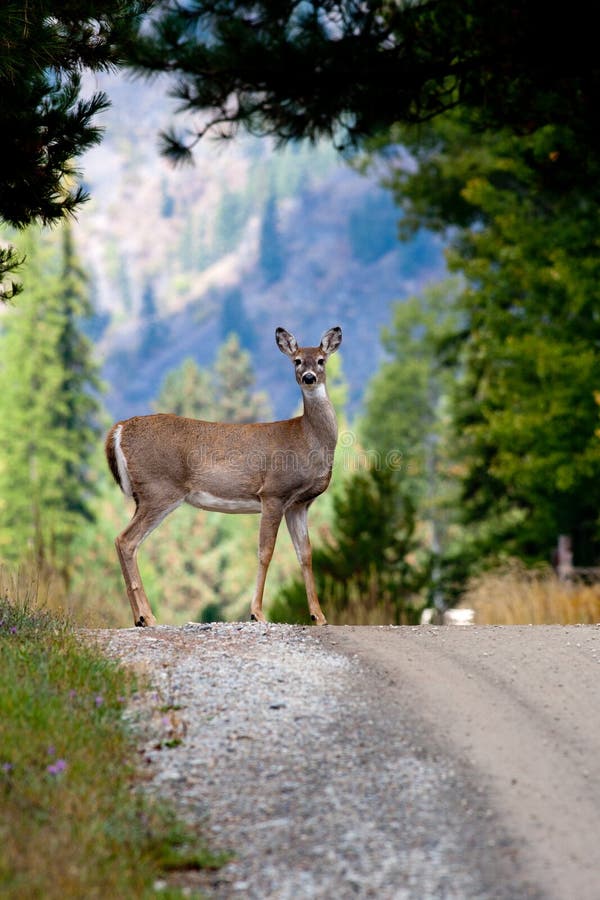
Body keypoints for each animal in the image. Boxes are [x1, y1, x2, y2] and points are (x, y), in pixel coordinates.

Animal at [105, 326, 342, 627]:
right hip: (159, 490)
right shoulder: (273, 493)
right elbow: (266, 552)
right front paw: (257, 613)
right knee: (126, 540)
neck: (306, 438)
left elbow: (306, 554)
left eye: (321, 360)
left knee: (125, 541)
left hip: (146, 495)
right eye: (297, 361)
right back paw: (147, 616)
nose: (308, 377)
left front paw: (319, 616)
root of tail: (120, 428)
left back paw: (139, 617)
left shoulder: (299, 504)